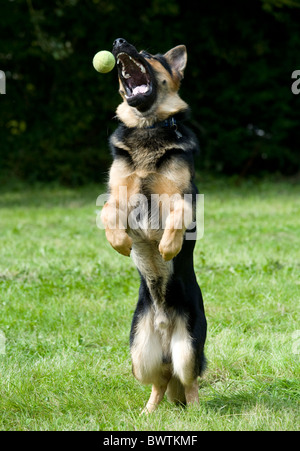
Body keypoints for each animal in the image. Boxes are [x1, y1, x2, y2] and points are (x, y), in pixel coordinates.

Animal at [101, 38, 206, 414]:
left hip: (188, 347)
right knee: (159, 383)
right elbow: (108, 211)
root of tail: (163, 328)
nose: (118, 42)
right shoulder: (117, 195)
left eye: (148, 55)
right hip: (139, 354)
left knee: (189, 382)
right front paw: (119, 242)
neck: (147, 127)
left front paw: (168, 248)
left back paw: (198, 411)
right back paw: (148, 412)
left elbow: (176, 216)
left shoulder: (183, 198)